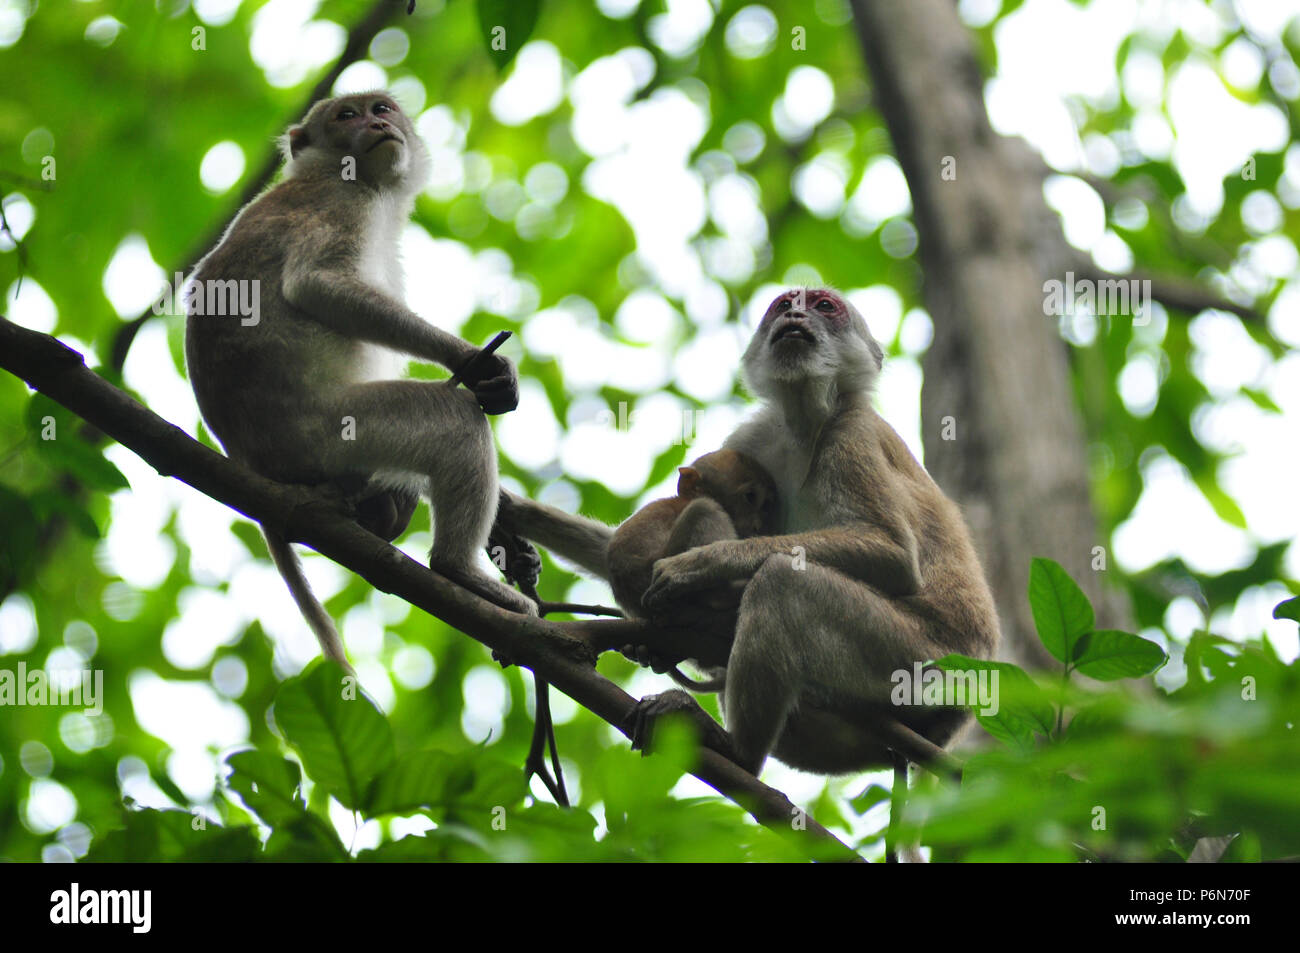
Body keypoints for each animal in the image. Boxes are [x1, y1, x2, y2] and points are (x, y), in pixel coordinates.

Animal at [185, 90, 536, 673]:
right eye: (347, 116)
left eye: (382, 108)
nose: (375, 124)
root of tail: (247, 458)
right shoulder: (341, 203)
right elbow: (319, 285)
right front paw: (471, 360)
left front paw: (513, 530)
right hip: (327, 433)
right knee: (455, 421)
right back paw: (456, 568)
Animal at [495, 288, 999, 777]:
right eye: (785, 303)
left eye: (824, 305)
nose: (795, 314)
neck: (806, 424)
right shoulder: (757, 436)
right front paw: (514, 516)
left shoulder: (852, 433)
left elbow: (892, 554)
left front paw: (701, 565)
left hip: (918, 662)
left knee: (782, 582)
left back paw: (737, 751)